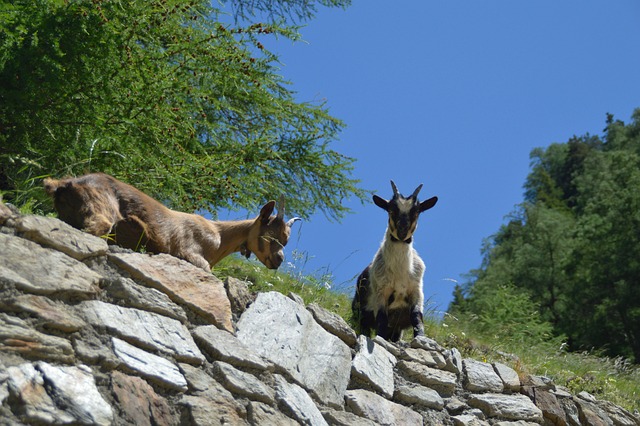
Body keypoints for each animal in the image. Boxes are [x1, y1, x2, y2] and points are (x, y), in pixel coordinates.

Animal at [43, 173, 300, 272]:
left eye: (286, 241)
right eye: (271, 236)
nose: (278, 261)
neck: (219, 236)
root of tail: (66, 184)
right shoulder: (190, 252)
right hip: (101, 214)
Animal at [352, 180, 438, 342]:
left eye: (416, 211)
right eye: (391, 209)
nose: (402, 230)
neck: (400, 273)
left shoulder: (416, 291)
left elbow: (417, 316)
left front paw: (421, 338)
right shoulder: (381, 292)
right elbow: (381, 319)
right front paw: (379, 338)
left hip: (397, 329)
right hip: (359, 311)